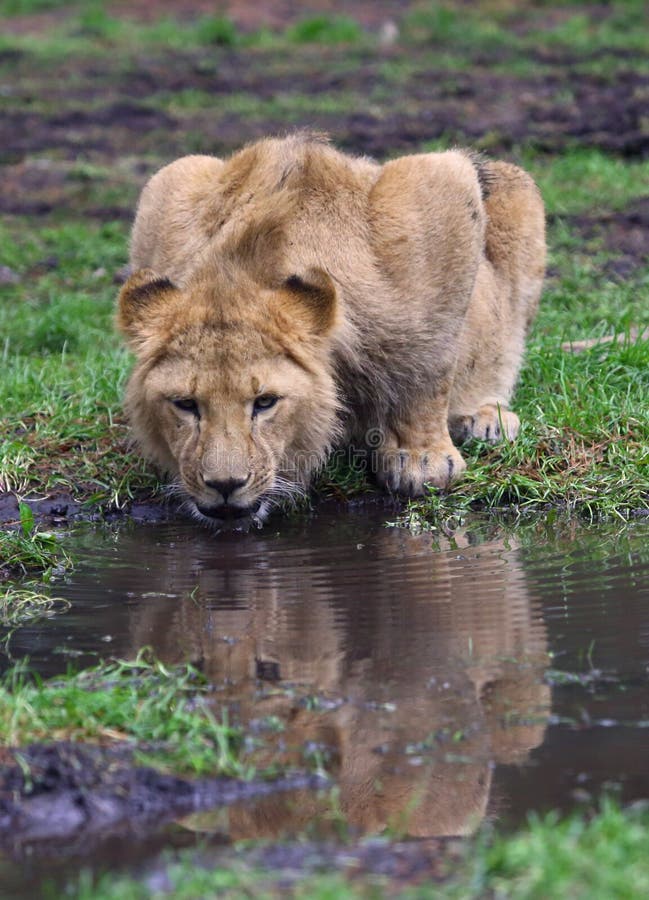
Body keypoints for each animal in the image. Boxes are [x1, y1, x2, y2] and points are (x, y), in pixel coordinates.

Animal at [117, 133, 545, 528]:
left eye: (265, 402)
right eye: (185, 404)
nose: (225, 485)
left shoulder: (441, 183)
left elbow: (429, 367)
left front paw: (422, 460)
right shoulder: (168, 188)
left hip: (514, 186)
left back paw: (486, 419)